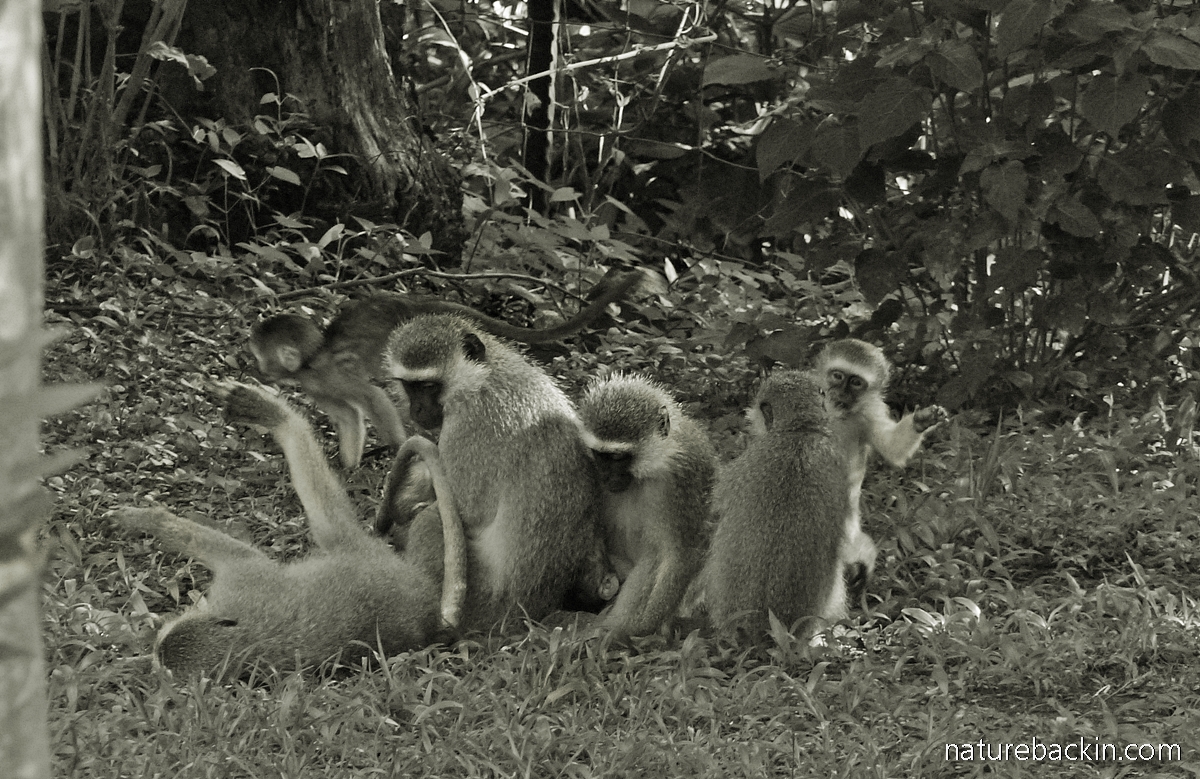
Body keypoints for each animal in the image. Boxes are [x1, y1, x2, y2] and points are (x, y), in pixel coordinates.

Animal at [113, 383, 467, 679]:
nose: (152, 657)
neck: (249, 636)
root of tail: (429, 611)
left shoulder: (243, 580)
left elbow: (233, 552)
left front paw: (147, 520)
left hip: (362, 553)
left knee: (328, 519)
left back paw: (277, 417)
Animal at [248, 269, 642, 470]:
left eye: (259, 356)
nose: (258, 371)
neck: (311, 361)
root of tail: (412, 302)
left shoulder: (328, 375)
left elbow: (372, 397)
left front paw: (397, 449)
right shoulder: (315, 384)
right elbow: (346, 415)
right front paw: (346, 466)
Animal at [382, 313, 608, 629]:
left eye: (428, 386)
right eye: (410, 386)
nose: (417, 411)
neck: (484, 377)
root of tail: (523, 611)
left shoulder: (469, 425)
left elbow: (465, 510)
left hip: (481, 601)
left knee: (431, 520)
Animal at [575, 374, 717, 637]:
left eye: (618, 457)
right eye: (600, 455)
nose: (606, 477)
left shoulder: (686, 476)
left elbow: (681, 554)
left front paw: (640, 629)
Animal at [814, 338, 947, 602]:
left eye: (856, 382)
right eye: (837, 375)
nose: (840, 393)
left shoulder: (871, 413)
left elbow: (892, 448)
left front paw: (922, 420)